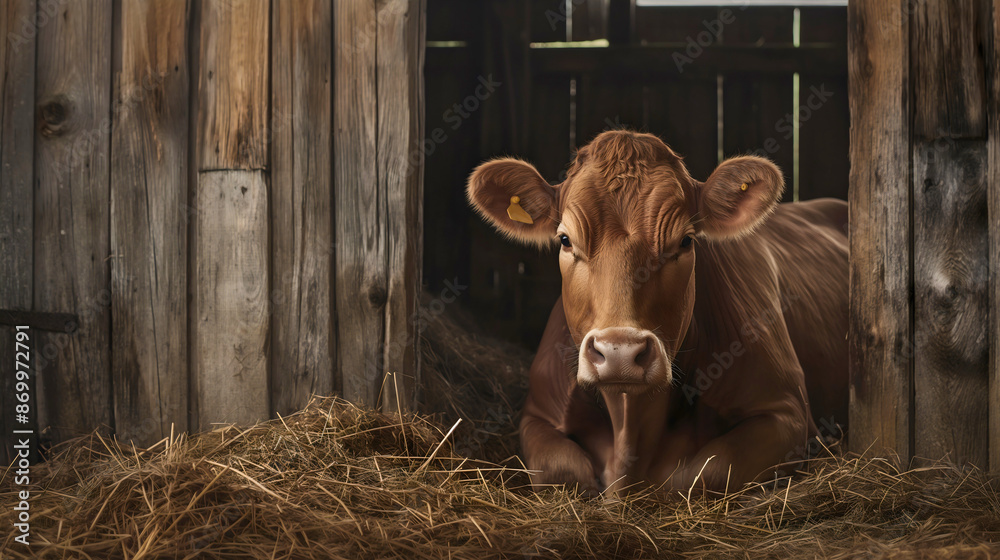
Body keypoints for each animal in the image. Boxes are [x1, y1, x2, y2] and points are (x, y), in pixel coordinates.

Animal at [466, 130, 848, 496]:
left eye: (685, 241)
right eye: (565, 240)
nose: (619, 352)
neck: (630, 427)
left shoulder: (789, 413)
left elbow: (706, 472)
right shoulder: (536, 415)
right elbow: (561, 471)